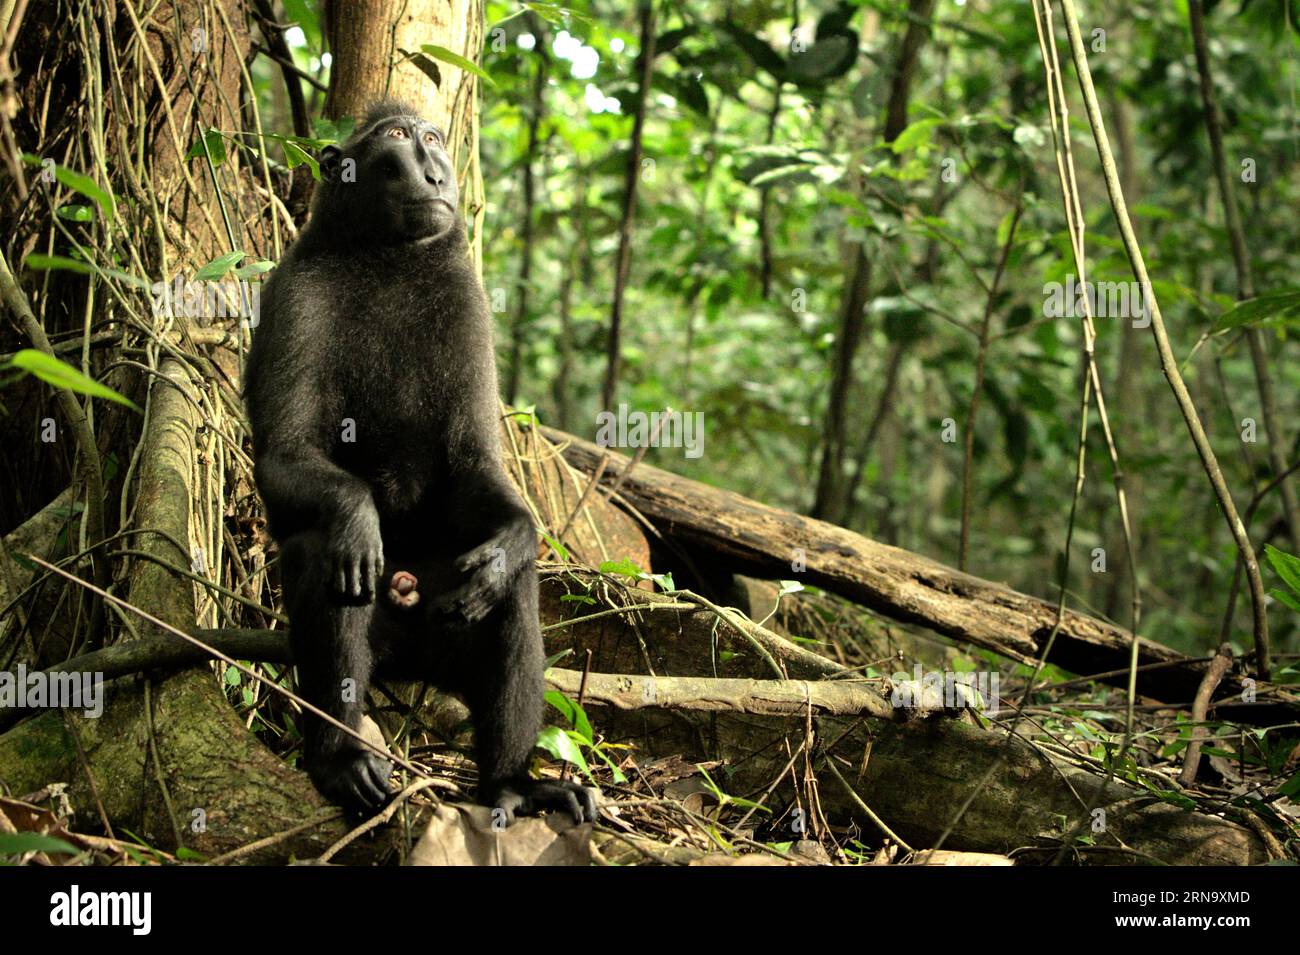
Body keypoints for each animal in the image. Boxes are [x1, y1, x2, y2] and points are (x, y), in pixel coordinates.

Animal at [243, 100, 597, 825]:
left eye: (433, 139)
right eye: (399, 139)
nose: (436, 171)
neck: (390, 259)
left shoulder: (468, 301)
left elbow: (475, 462)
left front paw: (510, 542)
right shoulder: (297, 294)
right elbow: (288, 453)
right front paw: (358, 516)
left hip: (443, 625)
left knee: (511, 590)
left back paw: (510, 784)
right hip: (380, 636)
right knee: (327, 552)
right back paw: (341, 759)